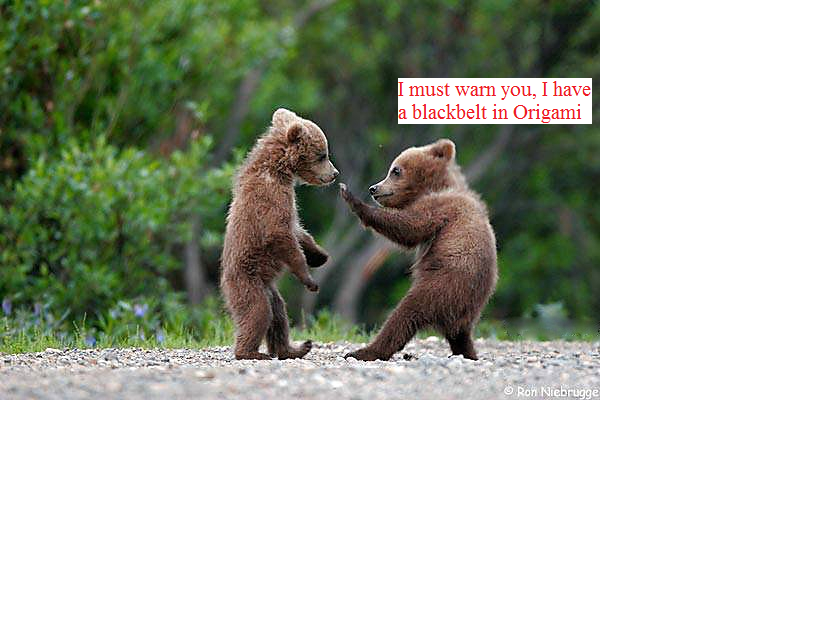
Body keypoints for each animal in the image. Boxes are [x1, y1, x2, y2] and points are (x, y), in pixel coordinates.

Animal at [220, 108, 338, 360]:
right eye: (322, 154)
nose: (334, 173)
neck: (280, 170)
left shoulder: (288, 202)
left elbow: (298, 231)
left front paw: (320, 255)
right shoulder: (270, 198)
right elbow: (279, 234)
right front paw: (309, 279)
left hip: (269, 289)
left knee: (279, 315)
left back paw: (294, 348)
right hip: (247, 282)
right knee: (258, 312)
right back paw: (251, 352)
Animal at [339, 138, 497, 361]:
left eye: (395, 170)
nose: (373, 188)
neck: (436, 186)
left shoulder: (440, 207)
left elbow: (410, 227)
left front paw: (351, 197)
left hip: (442, 286)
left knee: (404, 315)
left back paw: (364, 351)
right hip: (465, 307)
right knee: (459, 335)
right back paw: (468, 353)